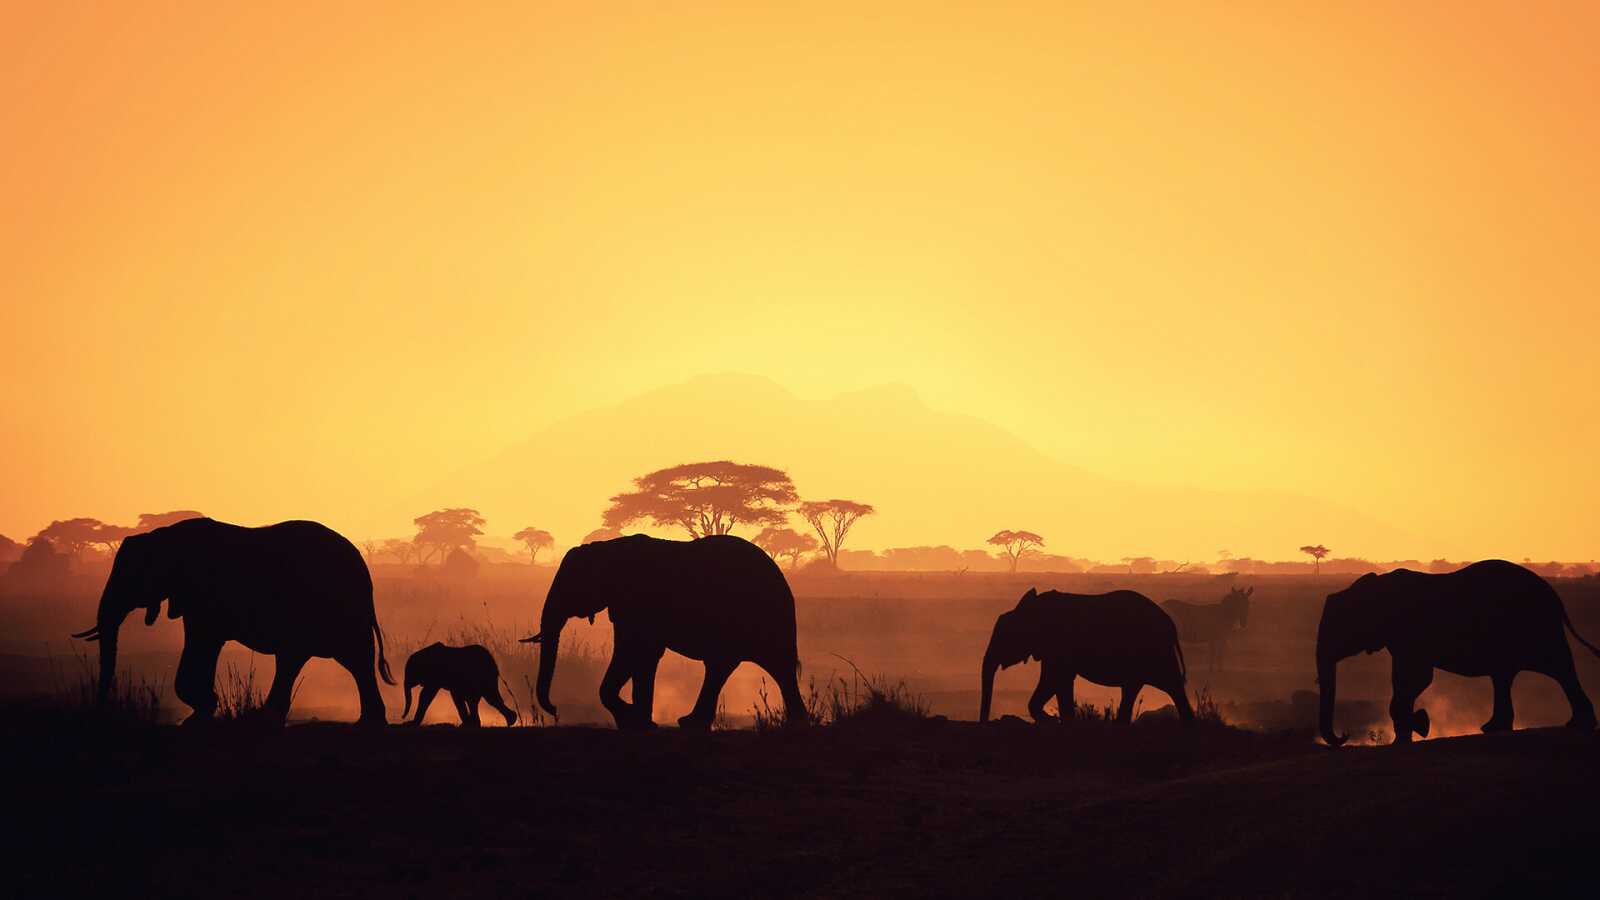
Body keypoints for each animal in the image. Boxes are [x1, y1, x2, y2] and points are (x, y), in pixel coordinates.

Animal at [72, 518, 395, 726]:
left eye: (130, 577)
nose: (101, 711)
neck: (162, 537)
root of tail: (364, 572)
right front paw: (200, 713)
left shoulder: (203, 593)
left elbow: (203, 640)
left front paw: (200, 713)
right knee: (333, 659)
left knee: (333, 657)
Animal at [522, 534, 806, 730]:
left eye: (569, 586)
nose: (555, 710)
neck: (607, 548)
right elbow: (640, 655)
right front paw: (639, 723)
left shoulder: (638, 601)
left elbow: (634, 651)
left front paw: (634, 720)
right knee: (726, 666)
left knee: (772, 665)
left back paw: (796, 724)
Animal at [980, 588, 1194, 724]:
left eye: (1004, 636)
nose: (984, 723)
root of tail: (1171, 625)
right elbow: (1059, 681)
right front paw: (1059, 721)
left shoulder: (1057, 645)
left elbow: (1054, 679)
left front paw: (1054, 721)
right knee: (1148, 687)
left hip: (1154, 651)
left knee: (1167, 685)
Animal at [1317, 560, 1599, 747]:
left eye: (1339, 627)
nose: (1345, 734)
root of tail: (1554, 594)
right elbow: (1406, 680)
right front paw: (1411, 731)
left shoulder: (1411, 634)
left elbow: (1415, 678)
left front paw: (1419, 726)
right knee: (1505, 676)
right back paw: (1495, 728)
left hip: (1538, 627)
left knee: (1559, 668)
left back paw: (1578, 725)